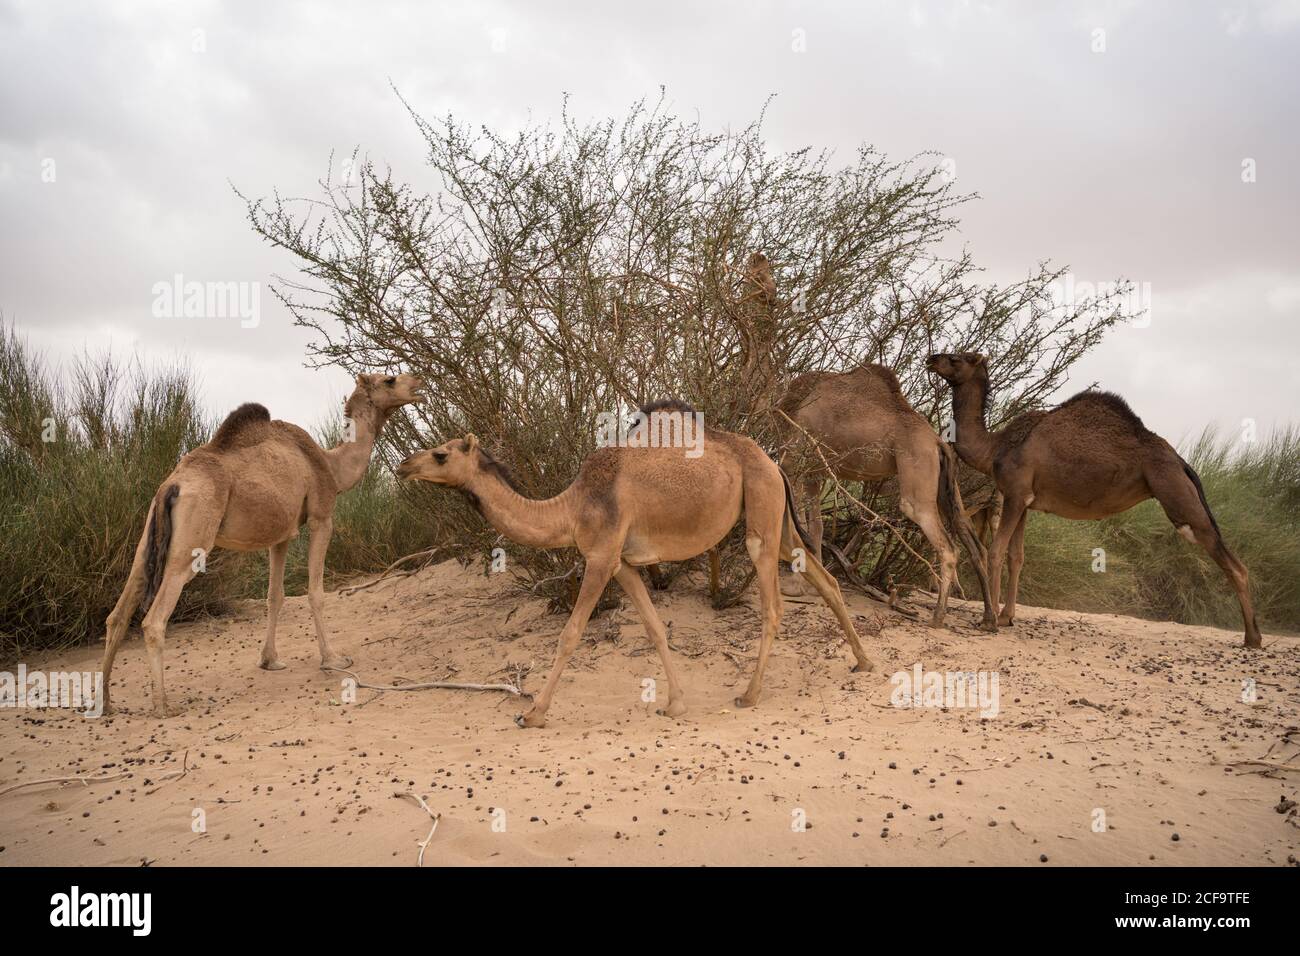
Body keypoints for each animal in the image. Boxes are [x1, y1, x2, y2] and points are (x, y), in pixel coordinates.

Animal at [99, 373, 426, 716]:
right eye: (389, 380)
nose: (419, 384)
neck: (332, 466)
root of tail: (172, 486)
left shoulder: (280, 535)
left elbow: (274, 596)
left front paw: (269, 660)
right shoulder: (322, 516)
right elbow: (315, 593)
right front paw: (333, 659)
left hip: (149, 535)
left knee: (118, 614)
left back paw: (106, 702)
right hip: (192, 538)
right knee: (154, 620)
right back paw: (163, 706)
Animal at [397, 400, 876, 728]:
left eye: (441, 454)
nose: (403, 466)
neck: (570, 508)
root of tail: (774, 464)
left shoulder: (599, 556)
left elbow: (570, 634)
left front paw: (533, 713)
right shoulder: (622, 564)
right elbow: (653, 627)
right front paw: (675, 703)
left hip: (761, 514)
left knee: (773, 605)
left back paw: (750, 694)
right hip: (777, 517)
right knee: (826, 578)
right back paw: (863, 662)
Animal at [777, 363, 997, 630]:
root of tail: (937, 442)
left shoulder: (795, 459)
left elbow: (796, 525)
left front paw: (796, 587)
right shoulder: (814, 472)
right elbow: (816, 527)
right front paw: (814, 587)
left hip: (917, 479)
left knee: (947, 546)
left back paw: (938, 616)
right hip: (947, 488)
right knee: (973, 542)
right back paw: (989, 619)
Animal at [926, 352, 1262, 648]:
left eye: (956, 358)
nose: (931, 358)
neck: (995, 447)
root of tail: (1180, 461)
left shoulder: (1016, 496)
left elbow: (995, 551)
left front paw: (989, 620)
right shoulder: (1022, 501)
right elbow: (1016, 556)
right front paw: (1008, 616)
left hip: (1175, 493)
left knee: (1231, 560)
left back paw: (1253, 638)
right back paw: (1252, 636)